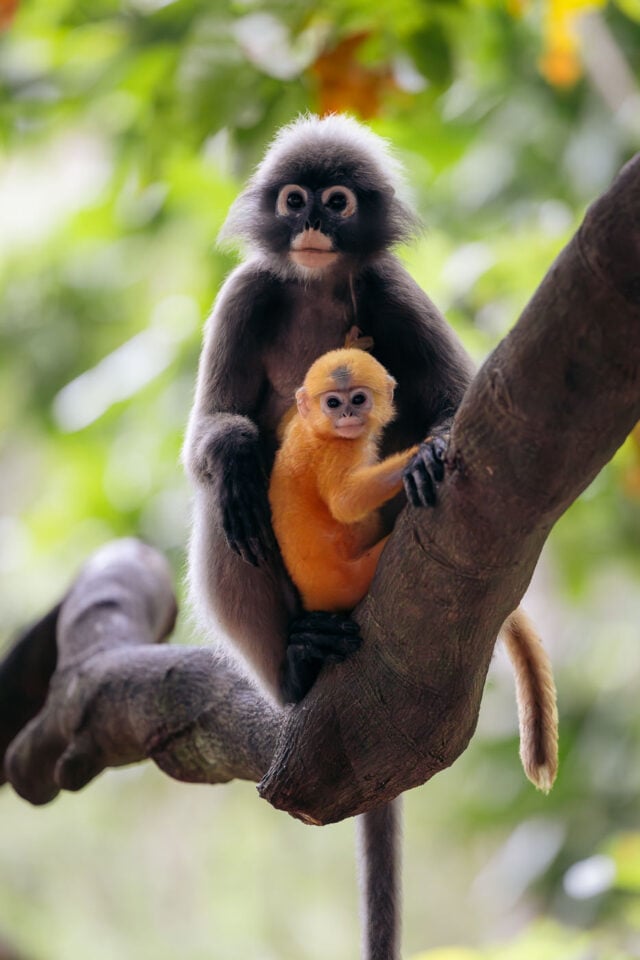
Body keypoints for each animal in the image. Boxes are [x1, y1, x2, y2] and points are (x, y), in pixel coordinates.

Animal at [269, 347, 558, 793]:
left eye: (358, 399)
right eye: (333, 403)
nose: (346, 415)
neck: (318, 428)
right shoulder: (334, 449)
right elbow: (347, 501)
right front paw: (424, 453)